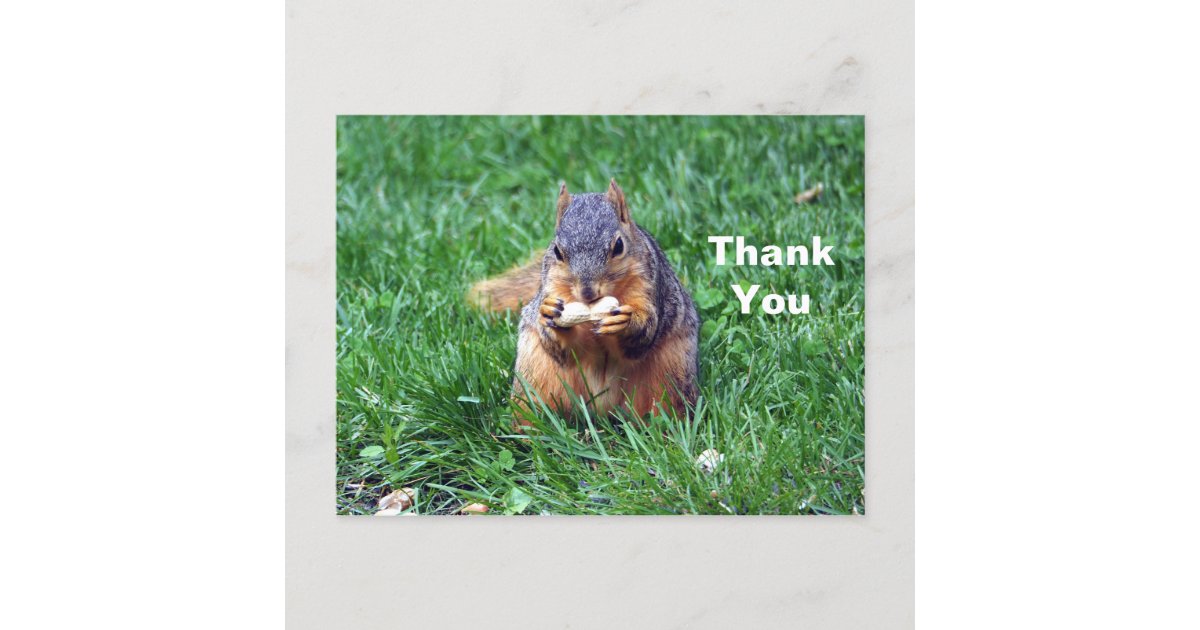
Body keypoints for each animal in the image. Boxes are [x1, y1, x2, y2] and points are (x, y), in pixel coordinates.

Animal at [468, 179, 700, 424]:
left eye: (619, 246)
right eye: (557, 251)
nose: (588, 292)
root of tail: (601, 411)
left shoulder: (649, 286)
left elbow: (644, 333)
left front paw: (626, 322)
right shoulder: (552, 285)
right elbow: (563, 347)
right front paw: (549, 313)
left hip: (669, 374)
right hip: (537, 376)